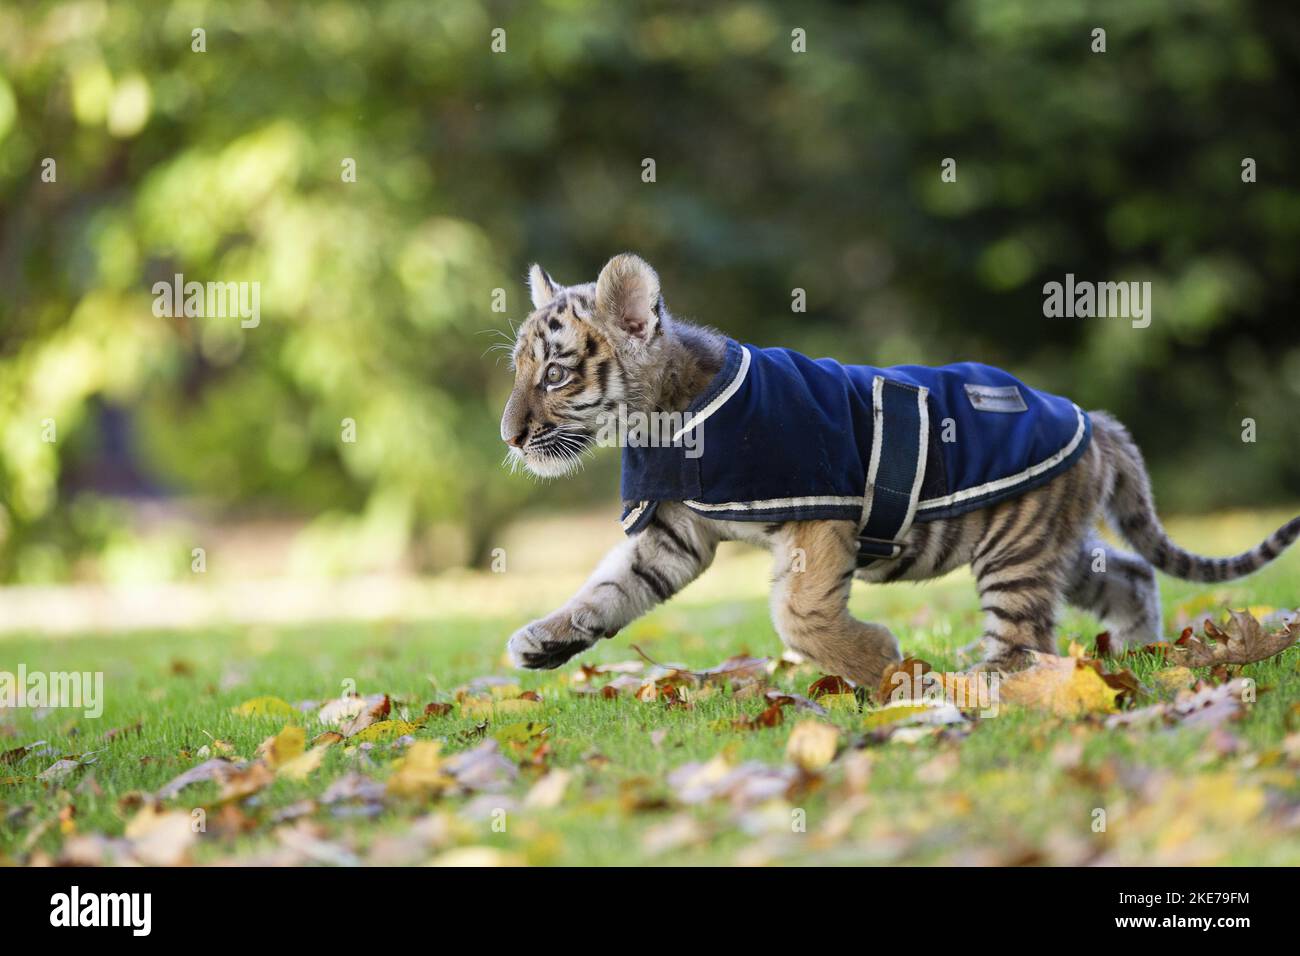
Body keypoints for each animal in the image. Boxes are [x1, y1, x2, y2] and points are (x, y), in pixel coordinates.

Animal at [498, 252, 1300, 686]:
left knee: (1026, 643)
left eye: (557, 374)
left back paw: (979, 686)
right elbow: (607, 590)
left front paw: (879, 662)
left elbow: (798, 613)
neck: (662, 421)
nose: (508, 435)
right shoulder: (673, 535)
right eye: (519, 369)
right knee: (1129, 576)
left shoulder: (817, 522)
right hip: (1054, 547)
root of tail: (1094, 422)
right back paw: (1138, 656)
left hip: (1016, 551)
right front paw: (545, 639)